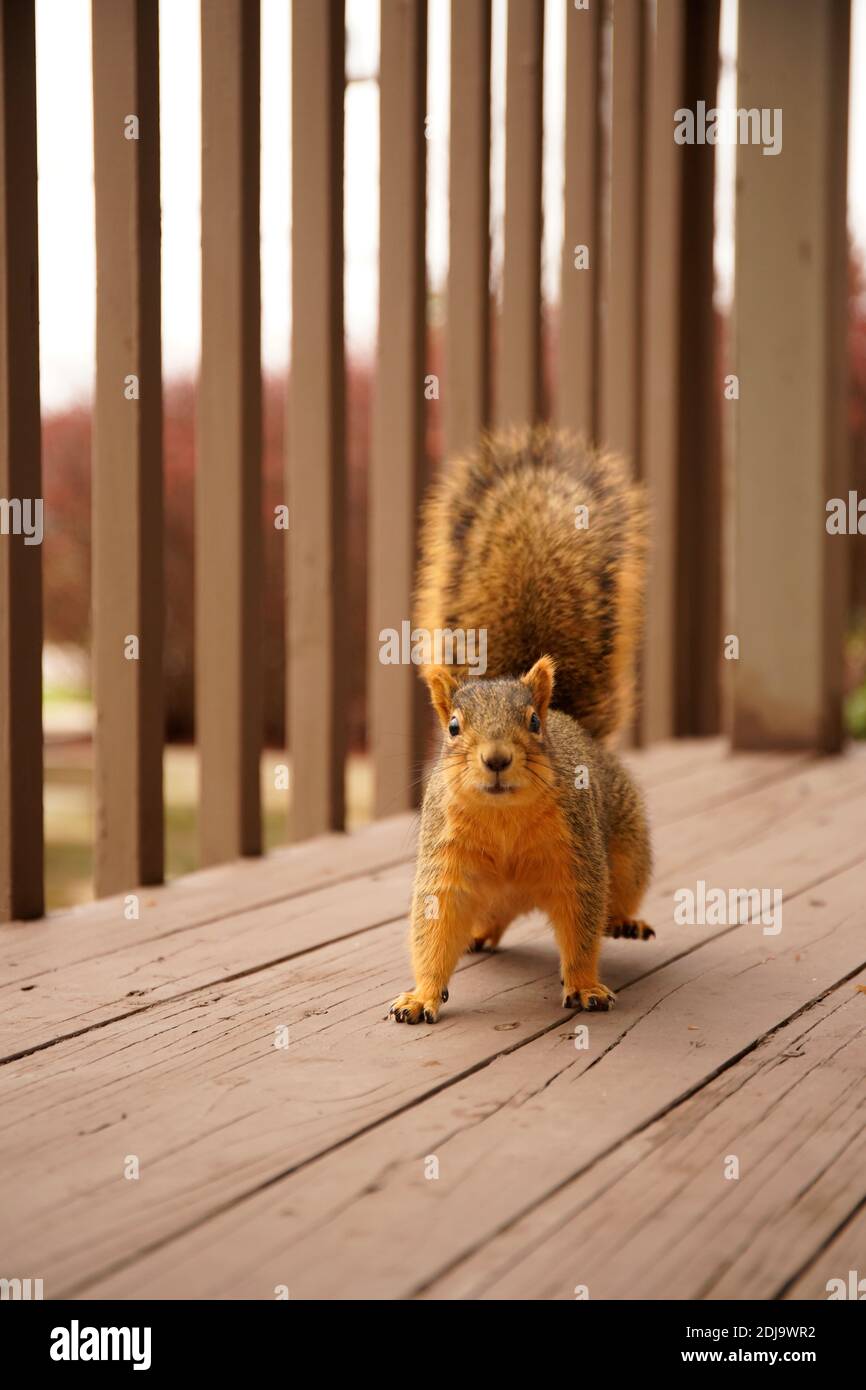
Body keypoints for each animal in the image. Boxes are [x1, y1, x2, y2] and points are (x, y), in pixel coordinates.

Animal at [389, 425, 653, 1025]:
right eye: (453, 728)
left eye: (533, 722)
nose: (496, 759)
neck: (504, 818)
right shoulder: (446, 864)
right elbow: (433, 927)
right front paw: (420, 996)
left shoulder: (578, 857)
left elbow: (581, 924)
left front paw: (585, 986)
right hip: (487, 894)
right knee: (485, 922)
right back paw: (480, 935)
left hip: (627, 850)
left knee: (618, 895)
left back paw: (625, 920)